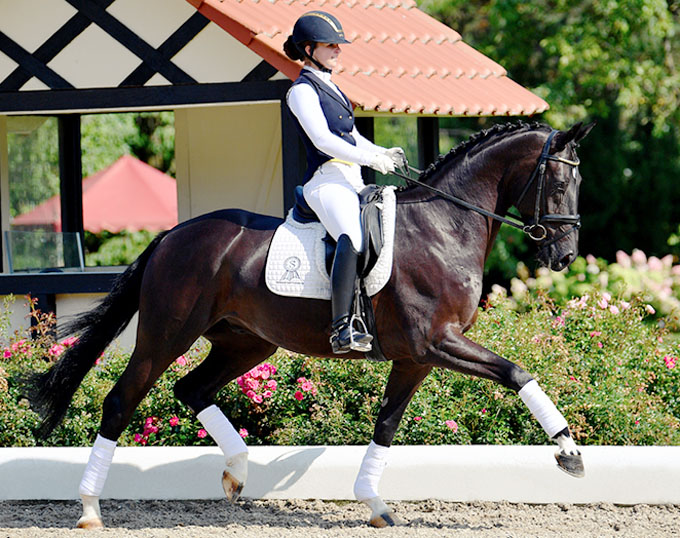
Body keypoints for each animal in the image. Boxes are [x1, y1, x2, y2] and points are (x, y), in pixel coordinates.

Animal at [27, 120, 594, 529]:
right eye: (559, 182)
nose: (565, 256)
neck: (443, 227)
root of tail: (172, 234)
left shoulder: (415, 357)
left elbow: (387, 423)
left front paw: (374, 504)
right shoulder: (436, 342)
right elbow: (517, 373)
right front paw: (569, 453)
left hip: (247, 344)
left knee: (192, 388)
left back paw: (237, 473)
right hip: (166, 335)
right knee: (122, 400)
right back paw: (89, 509)